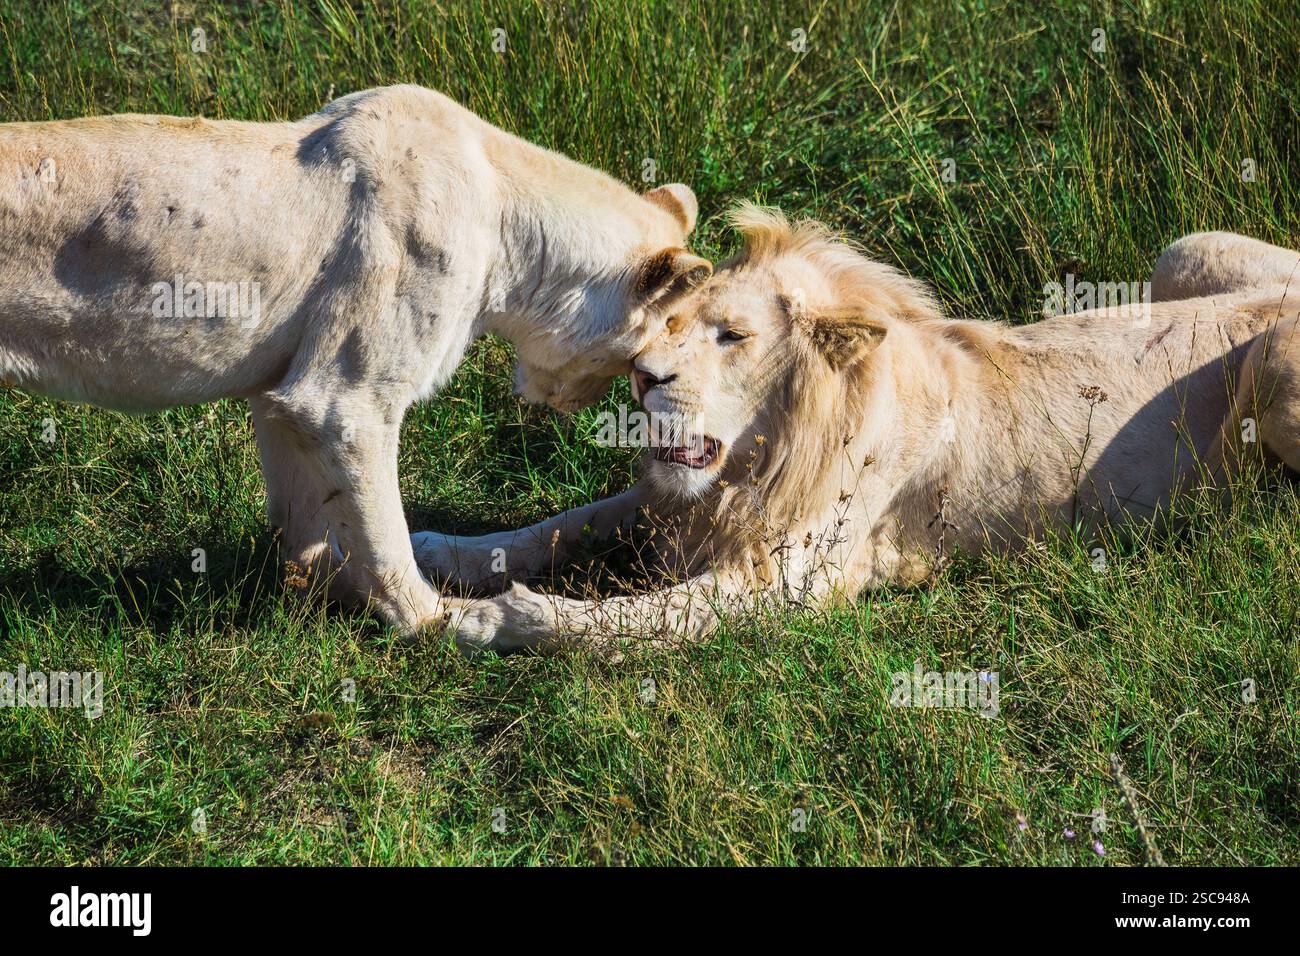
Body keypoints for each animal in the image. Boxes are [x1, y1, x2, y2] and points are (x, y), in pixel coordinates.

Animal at [0, 84, 711, 635]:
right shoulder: (345, 398)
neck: (507, 226)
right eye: (641, 366)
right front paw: (435, 620)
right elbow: (384, 526)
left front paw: (319, 589)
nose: (570, 407)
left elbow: (306, 515)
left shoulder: (282, 386)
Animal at [417, 211, 1300, 655]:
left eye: (732, 336)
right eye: (669, 322)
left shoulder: (787, 584)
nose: (643, 376)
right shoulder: (687, 504)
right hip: (1180, 253)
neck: (767, 455)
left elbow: (620, 620)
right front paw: (447, 553)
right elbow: (562, 525)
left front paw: (485, 620)